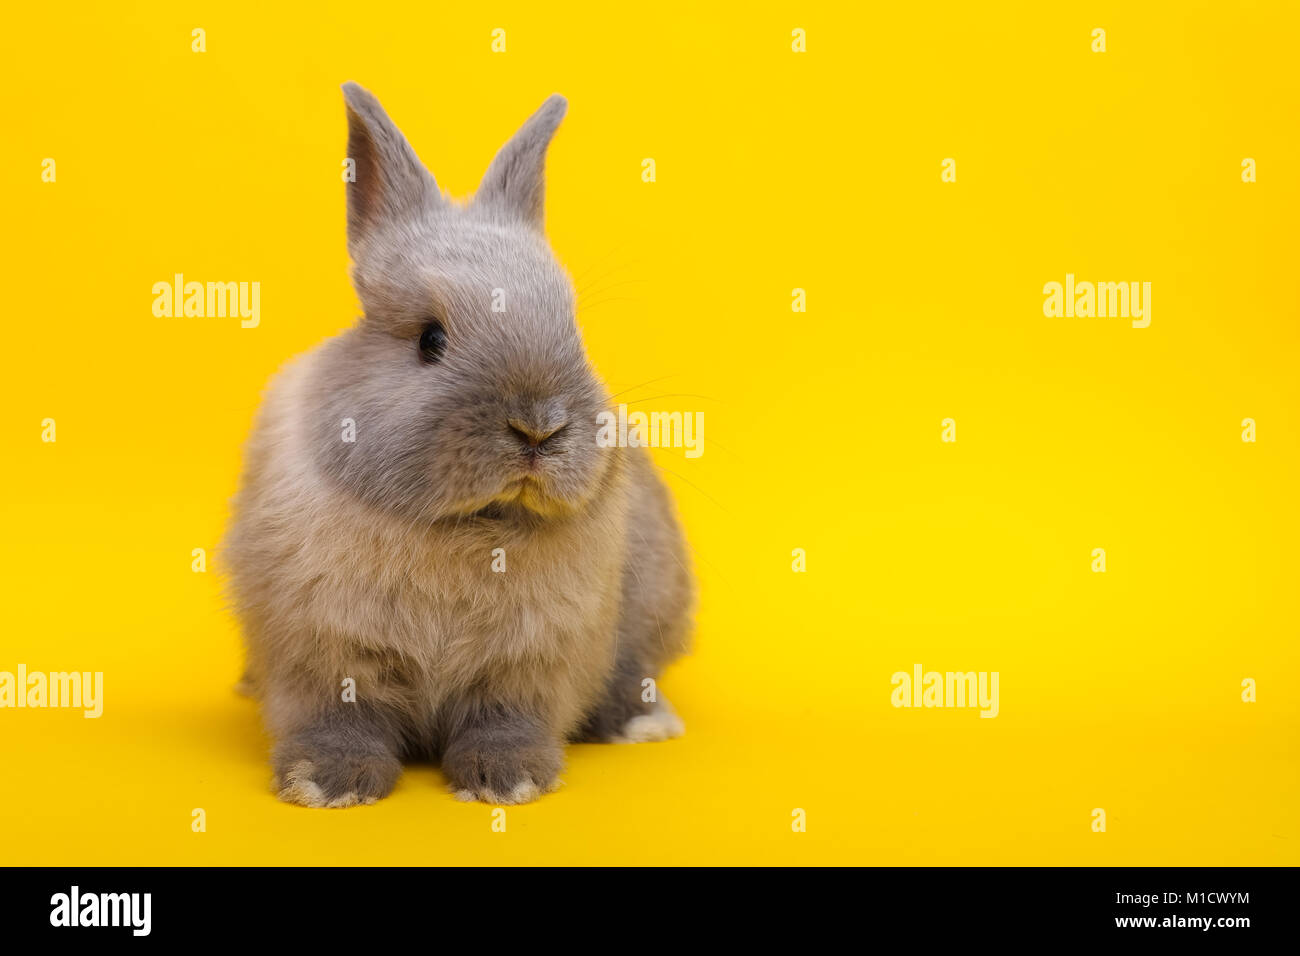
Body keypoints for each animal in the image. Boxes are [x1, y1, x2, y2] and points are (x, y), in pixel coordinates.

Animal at [221, 84, 694, 808]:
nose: (538, 427)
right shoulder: (322, 653)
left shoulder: (531, 661)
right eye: (430, 340)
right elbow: (338, 720)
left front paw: (509, 780)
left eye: (572, 327)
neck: (470, 527)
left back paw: (642, 721)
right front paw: (329, 784)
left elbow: (505, 720)